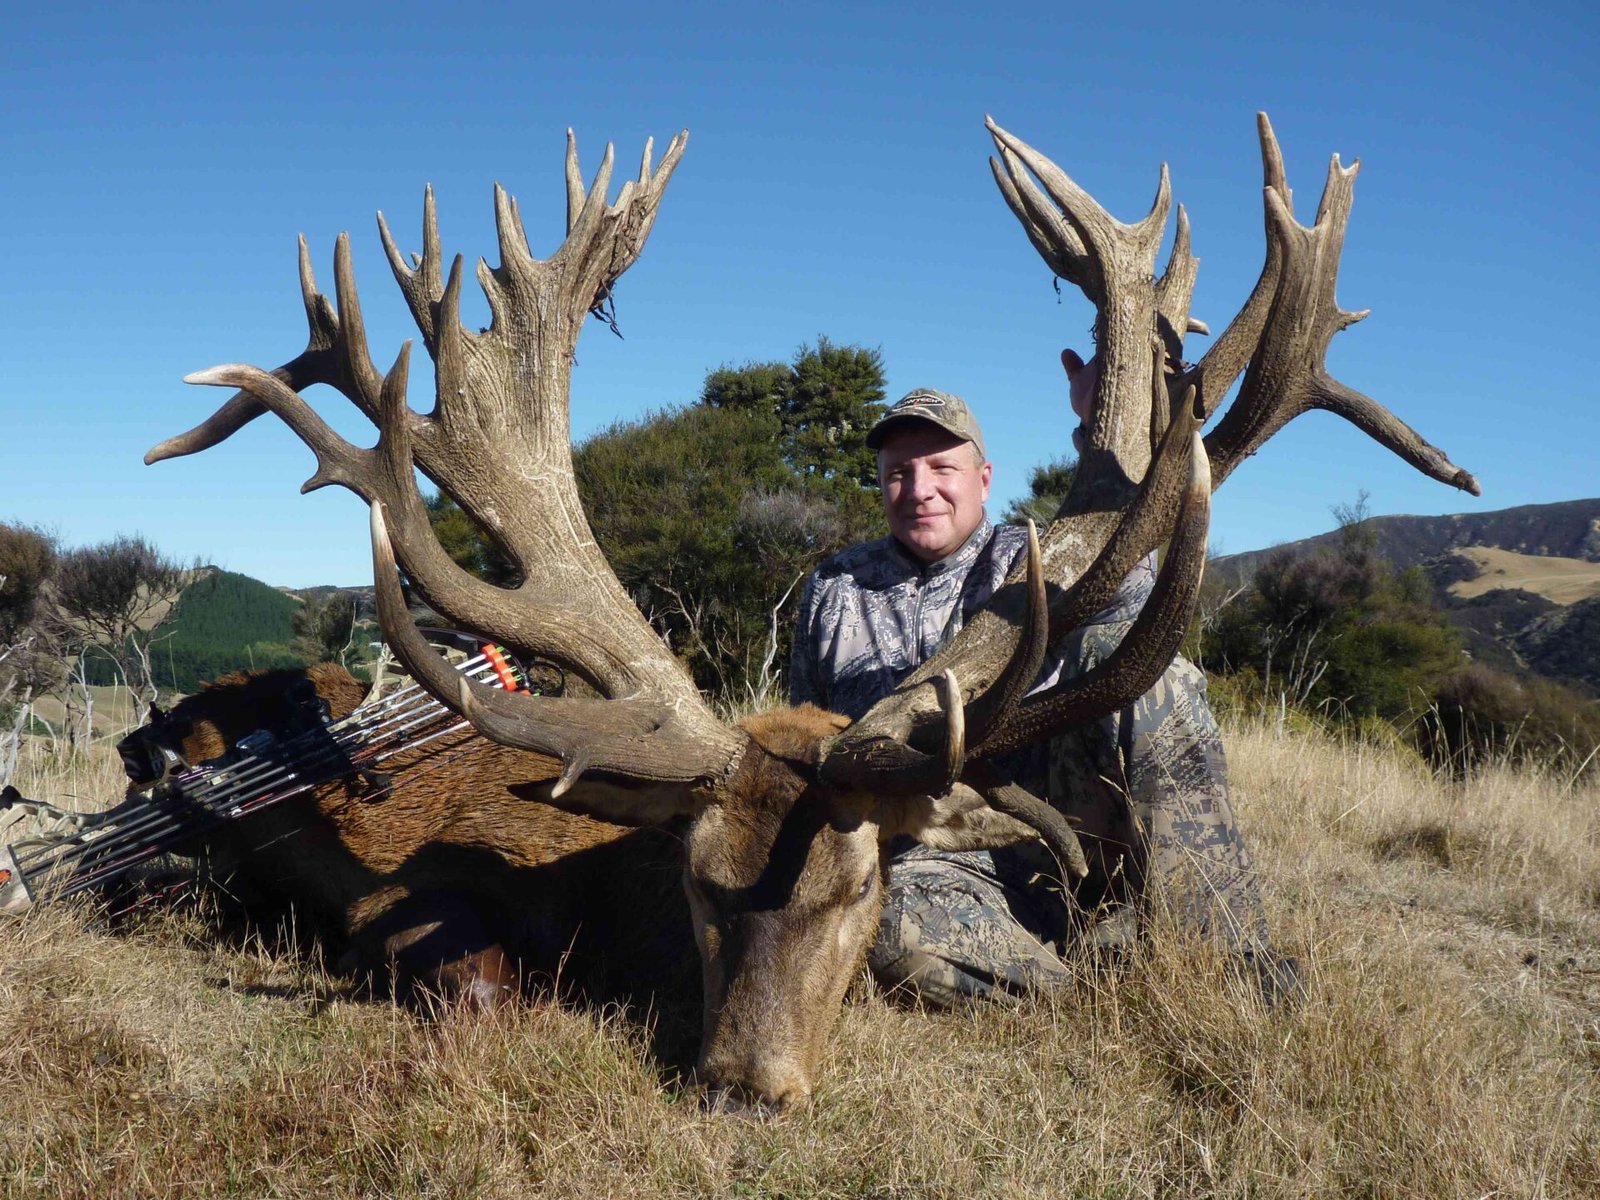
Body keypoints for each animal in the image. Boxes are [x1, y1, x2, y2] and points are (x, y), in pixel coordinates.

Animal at [144, 117, 1477, 1112]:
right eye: (698, 885)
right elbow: (470, 975)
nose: (743, 1087)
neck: (608, 901)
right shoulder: (401, 888)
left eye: (851, 891)